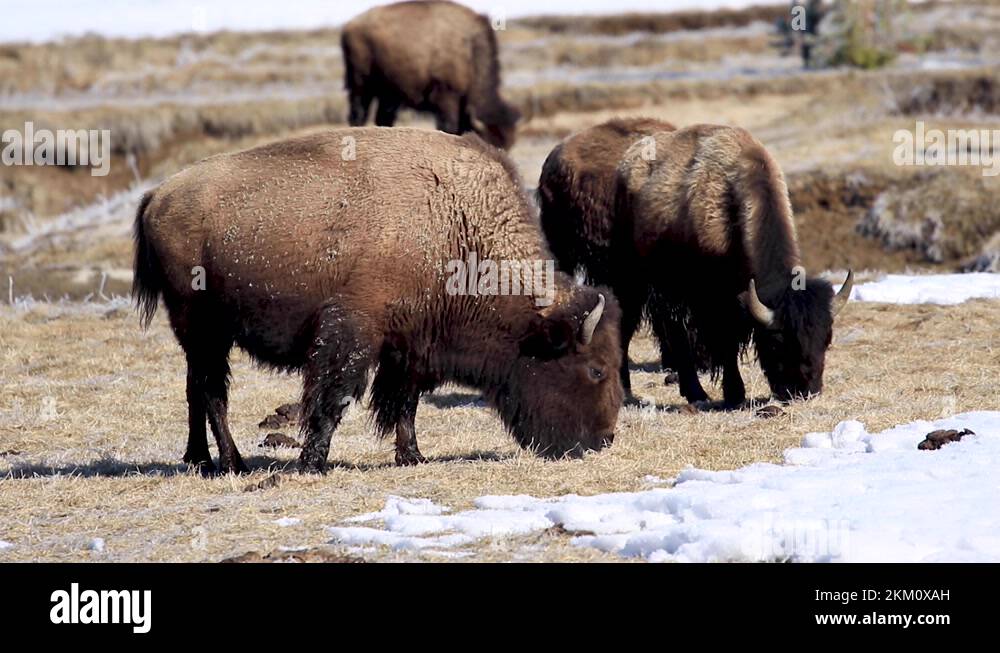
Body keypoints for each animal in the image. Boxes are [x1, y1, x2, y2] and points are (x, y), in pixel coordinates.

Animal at [133, 127, 622, 474]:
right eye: (596, 369)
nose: (604, 439)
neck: (454, 225)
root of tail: (158, 196)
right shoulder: (352, 332)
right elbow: (334, 398)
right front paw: (313, 463)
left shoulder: (411, 345)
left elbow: (404, 402)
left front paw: (412, 455)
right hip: (202, 327)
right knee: (211, 391)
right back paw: (232, 463)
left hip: (200, 335)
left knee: (196, 388)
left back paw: (200, 461)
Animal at [341, 1, 521, 149]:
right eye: (489, 141)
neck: (470, 49)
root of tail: (350, 25)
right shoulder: (446, 97)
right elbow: (449, 127)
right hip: (361, 85)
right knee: (358, 114)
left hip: (388, 93)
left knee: (383, 118)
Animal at [539, 120, 852, 407]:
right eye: (777, 341)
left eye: (826, 338)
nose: (805, 391)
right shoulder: (711, 300)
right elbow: (725, 343)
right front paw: (734, 395)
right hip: (635, 280)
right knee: (635, 328)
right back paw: (650, 392)